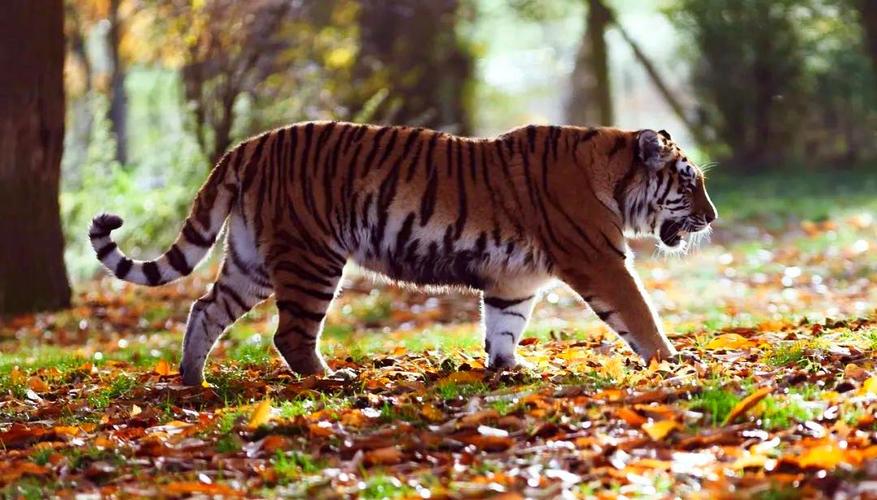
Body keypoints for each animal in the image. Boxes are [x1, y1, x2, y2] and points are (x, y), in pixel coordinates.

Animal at [89, 122, 717, 386]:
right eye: (690, 184)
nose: (712, 219)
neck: (611, 173)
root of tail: (248, 144)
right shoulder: (600, 261)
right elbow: (639, 313)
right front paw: (672, 361)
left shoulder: (514, 281)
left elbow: (504, 325)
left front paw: (509, 368)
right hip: (312, 258)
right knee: (290, 334)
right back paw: (330, 380)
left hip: (253, 262)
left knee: (205, 309)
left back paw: (193, 382)